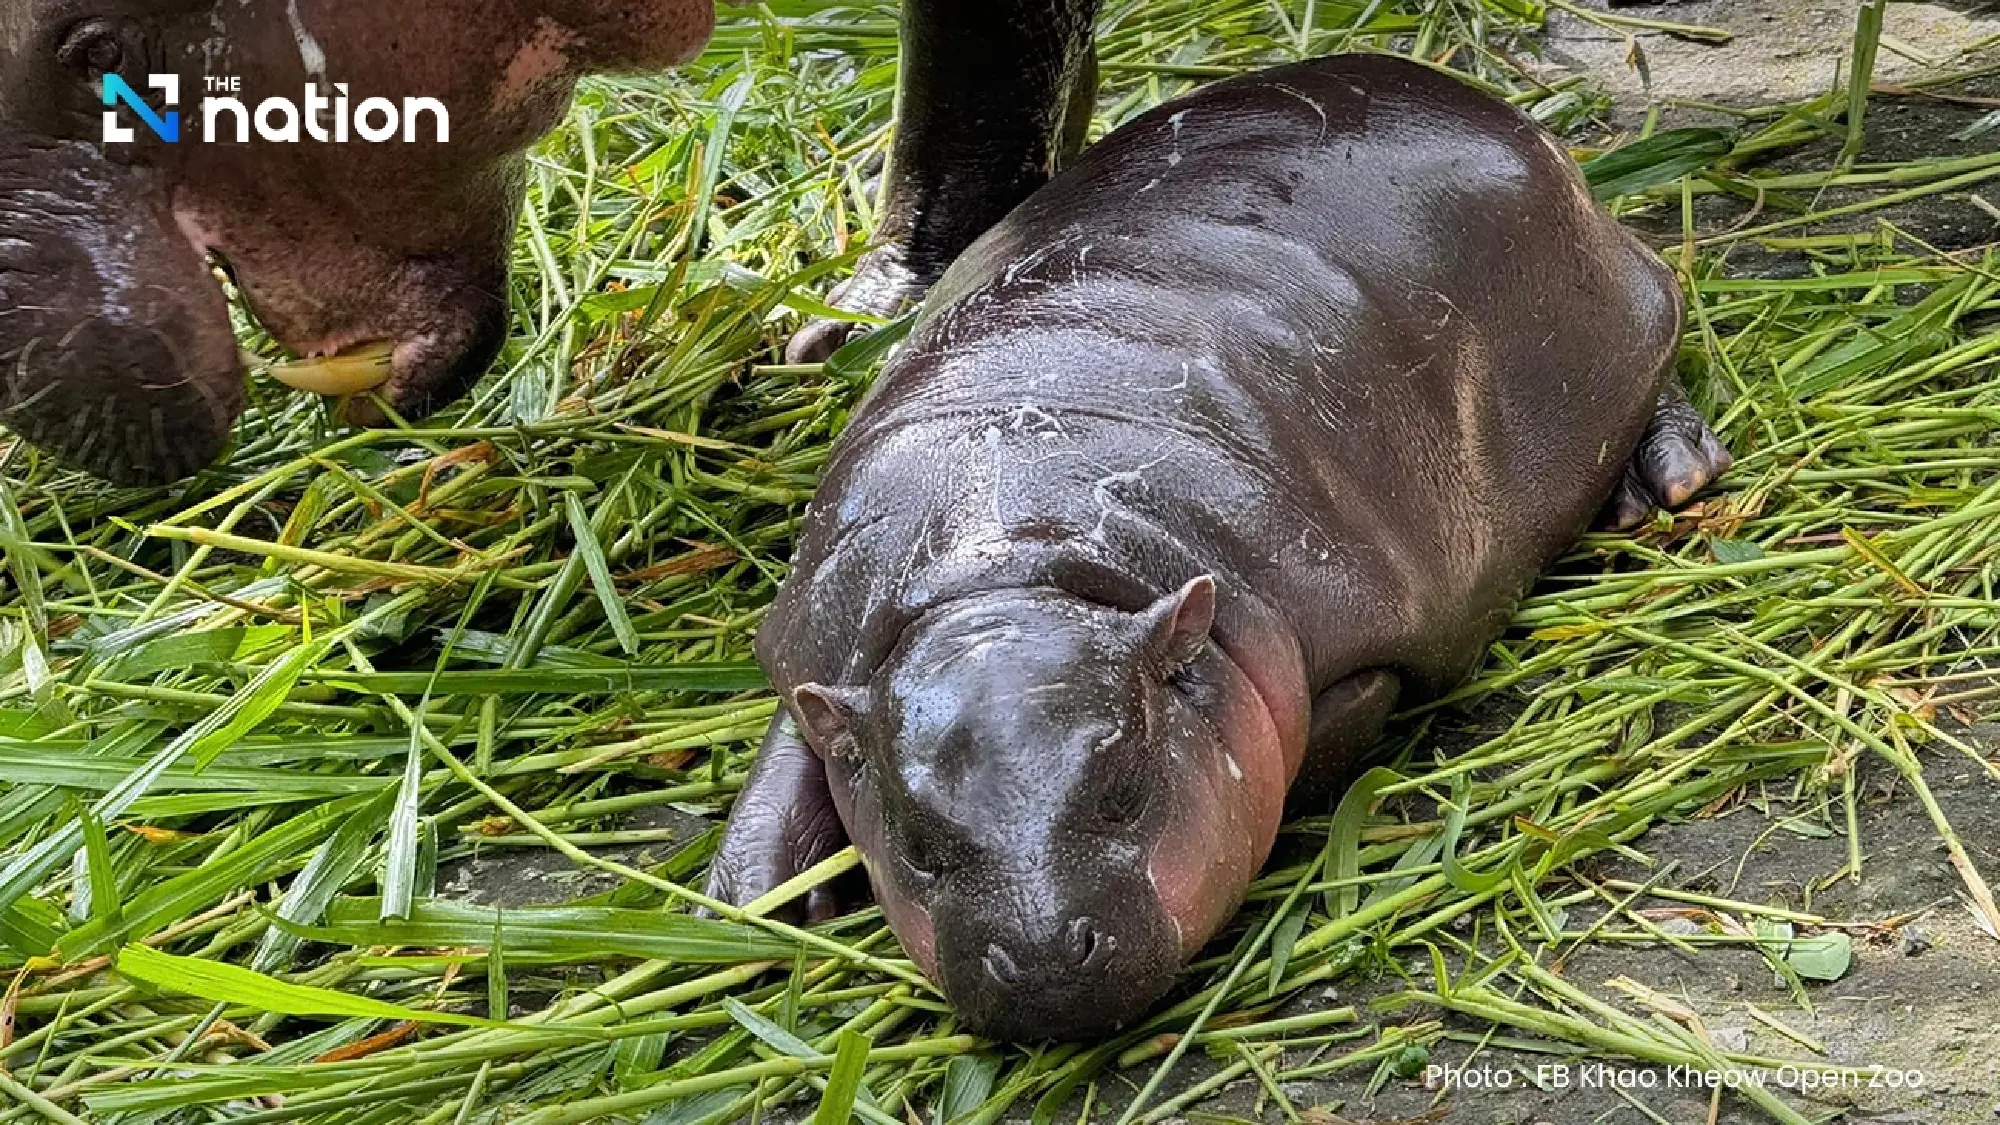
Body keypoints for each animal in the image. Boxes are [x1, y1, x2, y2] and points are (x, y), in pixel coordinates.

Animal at [703, 55, 1732, 1040]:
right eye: (918, 848)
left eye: (1125, 790)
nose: (1039, 957)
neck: (1007, 569)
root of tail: (1492, 109)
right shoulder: (823, 647)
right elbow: (789, 750)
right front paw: (742, 906)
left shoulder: (1353, 651)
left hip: (1615, 322)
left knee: (1666, 343)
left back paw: (1664, 482)